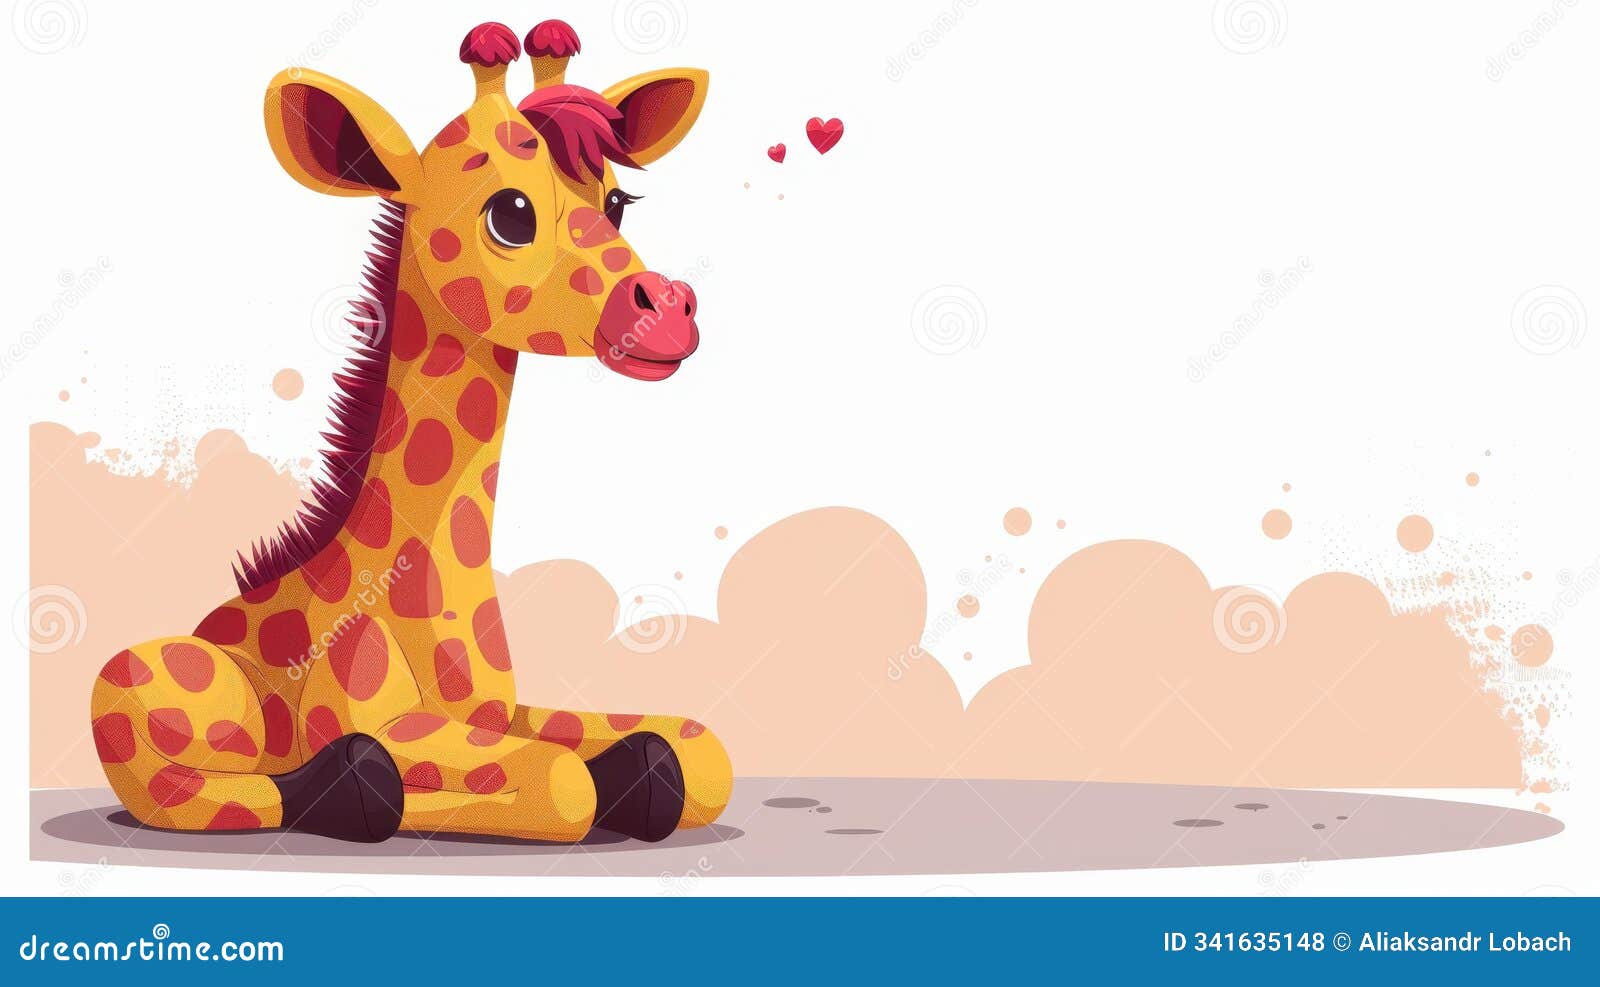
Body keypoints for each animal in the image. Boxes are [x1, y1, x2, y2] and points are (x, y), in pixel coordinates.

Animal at [87, 20, 730, 843]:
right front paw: (360, 782)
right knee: (189, 790)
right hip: (150, 683)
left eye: (617, 202)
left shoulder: (501, 709)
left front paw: (642, 769)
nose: (667, 311)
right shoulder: (380, 718)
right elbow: (561, 783)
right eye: (511, 213)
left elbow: (692, 747)